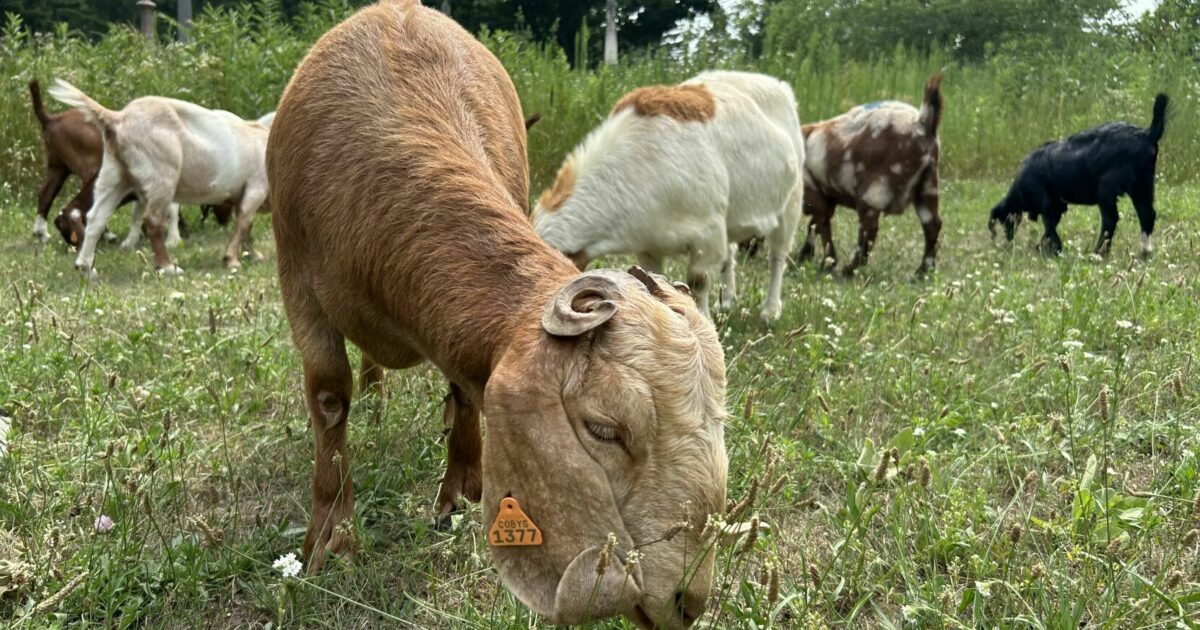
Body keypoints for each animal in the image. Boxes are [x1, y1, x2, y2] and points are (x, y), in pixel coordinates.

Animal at [47, 82, 272, 274]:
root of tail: (118, 119)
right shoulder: (256, 186)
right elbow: (244, 222)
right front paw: (232, 260)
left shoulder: (241, 194)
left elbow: (247, 225)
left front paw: (253, 255)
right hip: (161, 176)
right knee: (153, 220)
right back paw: (167, 266)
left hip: (114, 176)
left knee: (96, 218)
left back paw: (85, 267)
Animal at [268, 2, 727, 628]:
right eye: (604, 430)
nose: (688, 599)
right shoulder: (299, 289)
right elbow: (329, 399)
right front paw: (333, 539)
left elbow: (464, 388)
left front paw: (460, 493)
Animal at [531, 71, 805, 322]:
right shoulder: (648, 245)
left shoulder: (708, 234)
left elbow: (699, 281)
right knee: (731, 253)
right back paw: (727, 301)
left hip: (791, 201)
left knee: (777, 256)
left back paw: (770, 311)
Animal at [798, 72, 943, 275]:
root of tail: (922, 123)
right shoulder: (827, 198)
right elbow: (814, 225)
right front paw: (807, 256)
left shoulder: (812, 194)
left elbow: (820, 224)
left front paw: (827, 261)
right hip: (927, 186)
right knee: (932, 225)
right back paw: (922, 271)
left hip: (873, 192)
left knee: (869, 230)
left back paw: (850, 270)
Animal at [989, 93, 1169, 257]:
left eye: (1004, 221)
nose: (1008, 242)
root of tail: (1147, 133)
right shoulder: (1058, 207)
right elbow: (1049, 229)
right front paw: (1042, 247)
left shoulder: (1047, 204)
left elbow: (1049, 227)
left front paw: (1055, 250)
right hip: (1142, 186)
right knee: (1147, 215)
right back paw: (1144, 251)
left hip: (1106, 190)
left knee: (1110, 220)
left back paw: (1097, 253)